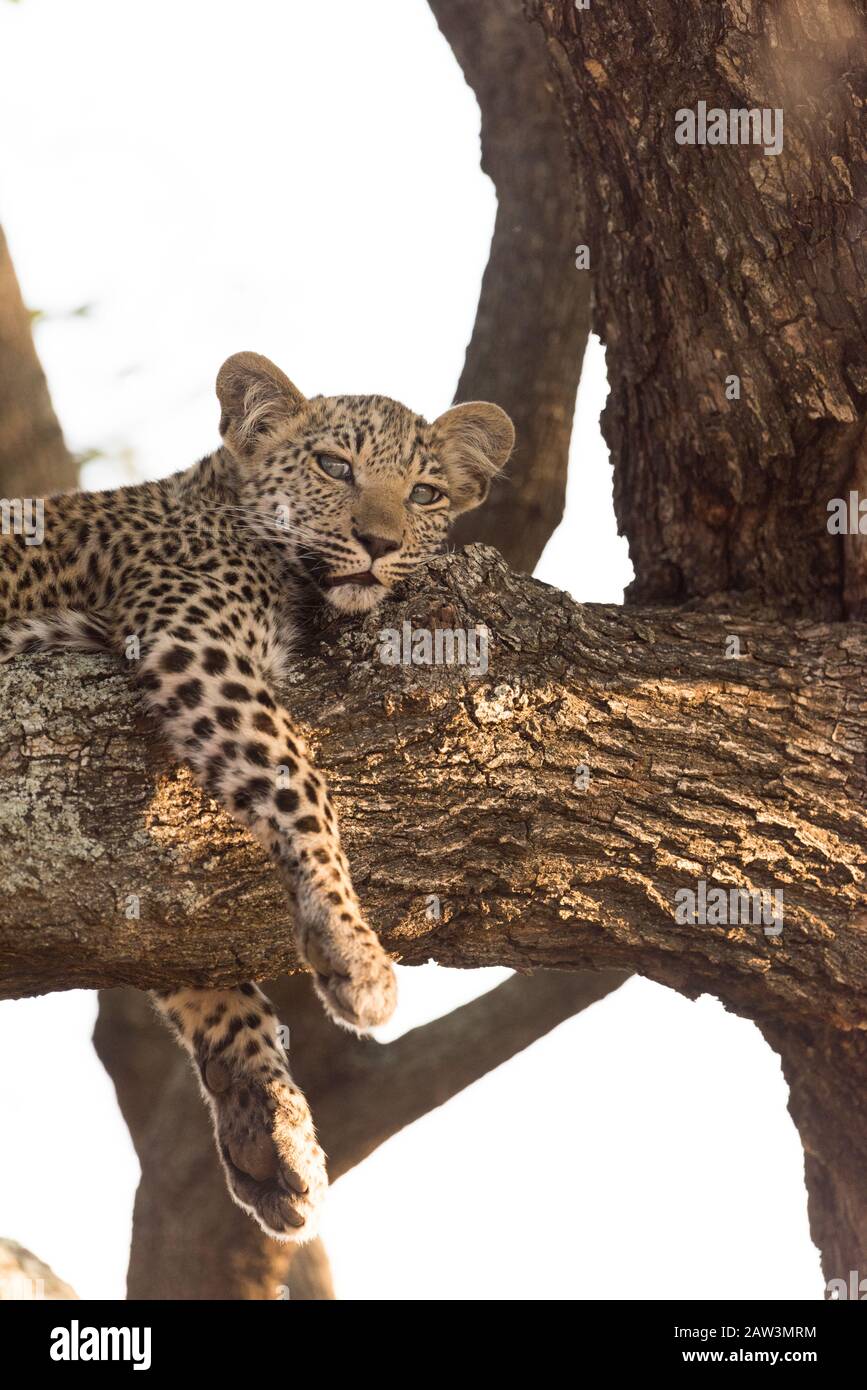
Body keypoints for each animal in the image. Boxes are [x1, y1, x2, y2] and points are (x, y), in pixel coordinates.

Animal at [0, 352, 514, 1241]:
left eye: (424, 493)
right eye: (334, 467)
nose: (379, 544)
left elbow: (181, 964)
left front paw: (266, 1126)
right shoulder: (194, 643)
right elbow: (298, 781)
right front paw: (352, 950)